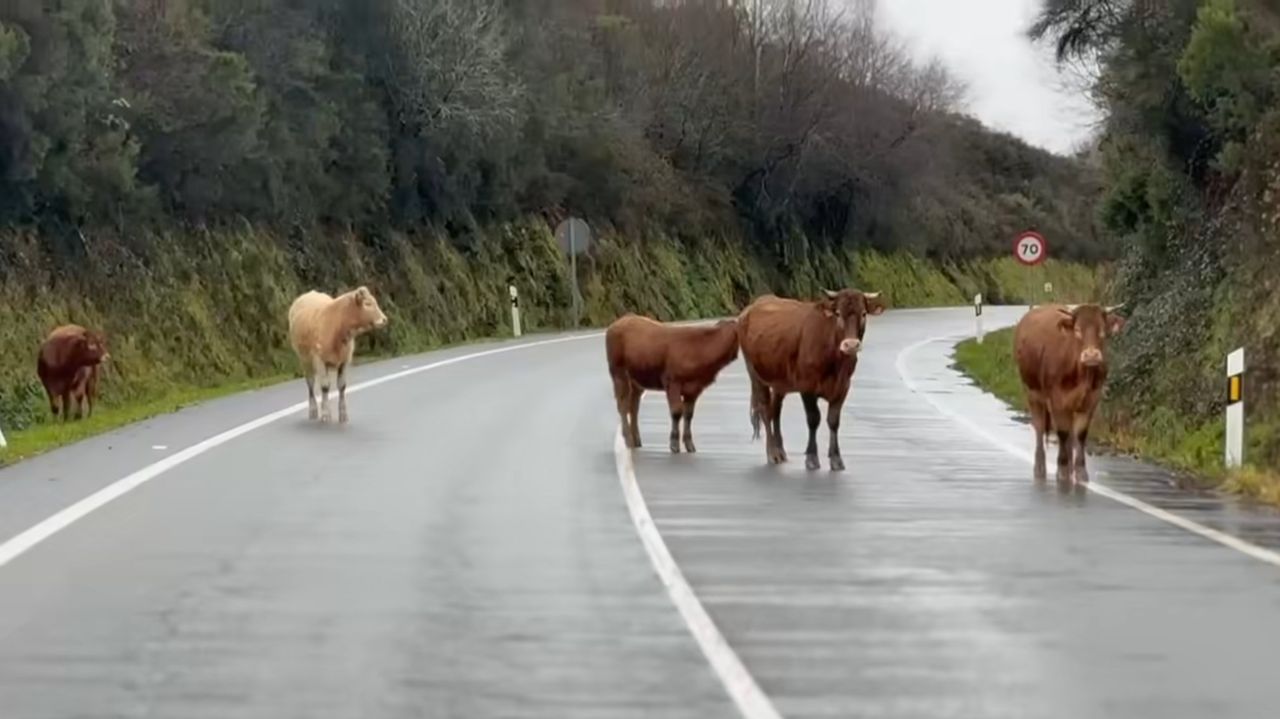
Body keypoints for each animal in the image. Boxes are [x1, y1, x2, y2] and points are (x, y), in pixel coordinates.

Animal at [288, 286, 389, 424]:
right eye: (367, 304)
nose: (384, 319)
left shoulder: (345, 361)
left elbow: (342, 386)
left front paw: (343, 414)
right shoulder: (319, 359)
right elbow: (325, 387)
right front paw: (326, 414)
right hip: (304, 361)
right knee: (311, 384)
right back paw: (313, 410)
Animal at [606, 315, 740, 453]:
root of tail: (624, 319)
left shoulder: (694, 389)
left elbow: (688, 415)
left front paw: (689, 444)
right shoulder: (673, 383)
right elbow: (677, 412)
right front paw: (674, 444)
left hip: (637, 381)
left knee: (633, 407)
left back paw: (636, 440)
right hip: (619, 374)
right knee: (623, 405)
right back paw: (628, 439)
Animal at [738, 289, 885, 470]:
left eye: (863, 313)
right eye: (837, 313)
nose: (851, 345)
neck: (835, 363)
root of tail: (750, 308)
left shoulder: (843, 387)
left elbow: (833, 421)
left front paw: (836, 458)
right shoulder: (807, 386)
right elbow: (813, 419)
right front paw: (812, 458)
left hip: (780, 382)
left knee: (776, 409)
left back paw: (780, 450)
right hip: (756, 375)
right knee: (766, 409)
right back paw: (772, 453)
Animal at [1013, 303, 1126, 482]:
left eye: (1102, 330)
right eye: (1078, 330)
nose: (1091, 354)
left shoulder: (1091, 400)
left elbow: (1080, 435)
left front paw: (1080, 471)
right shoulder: (1057, 400)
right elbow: (1063, 433)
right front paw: (1062, 469)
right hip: (1032, 393)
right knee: (1039, 427)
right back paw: (1040, 467)